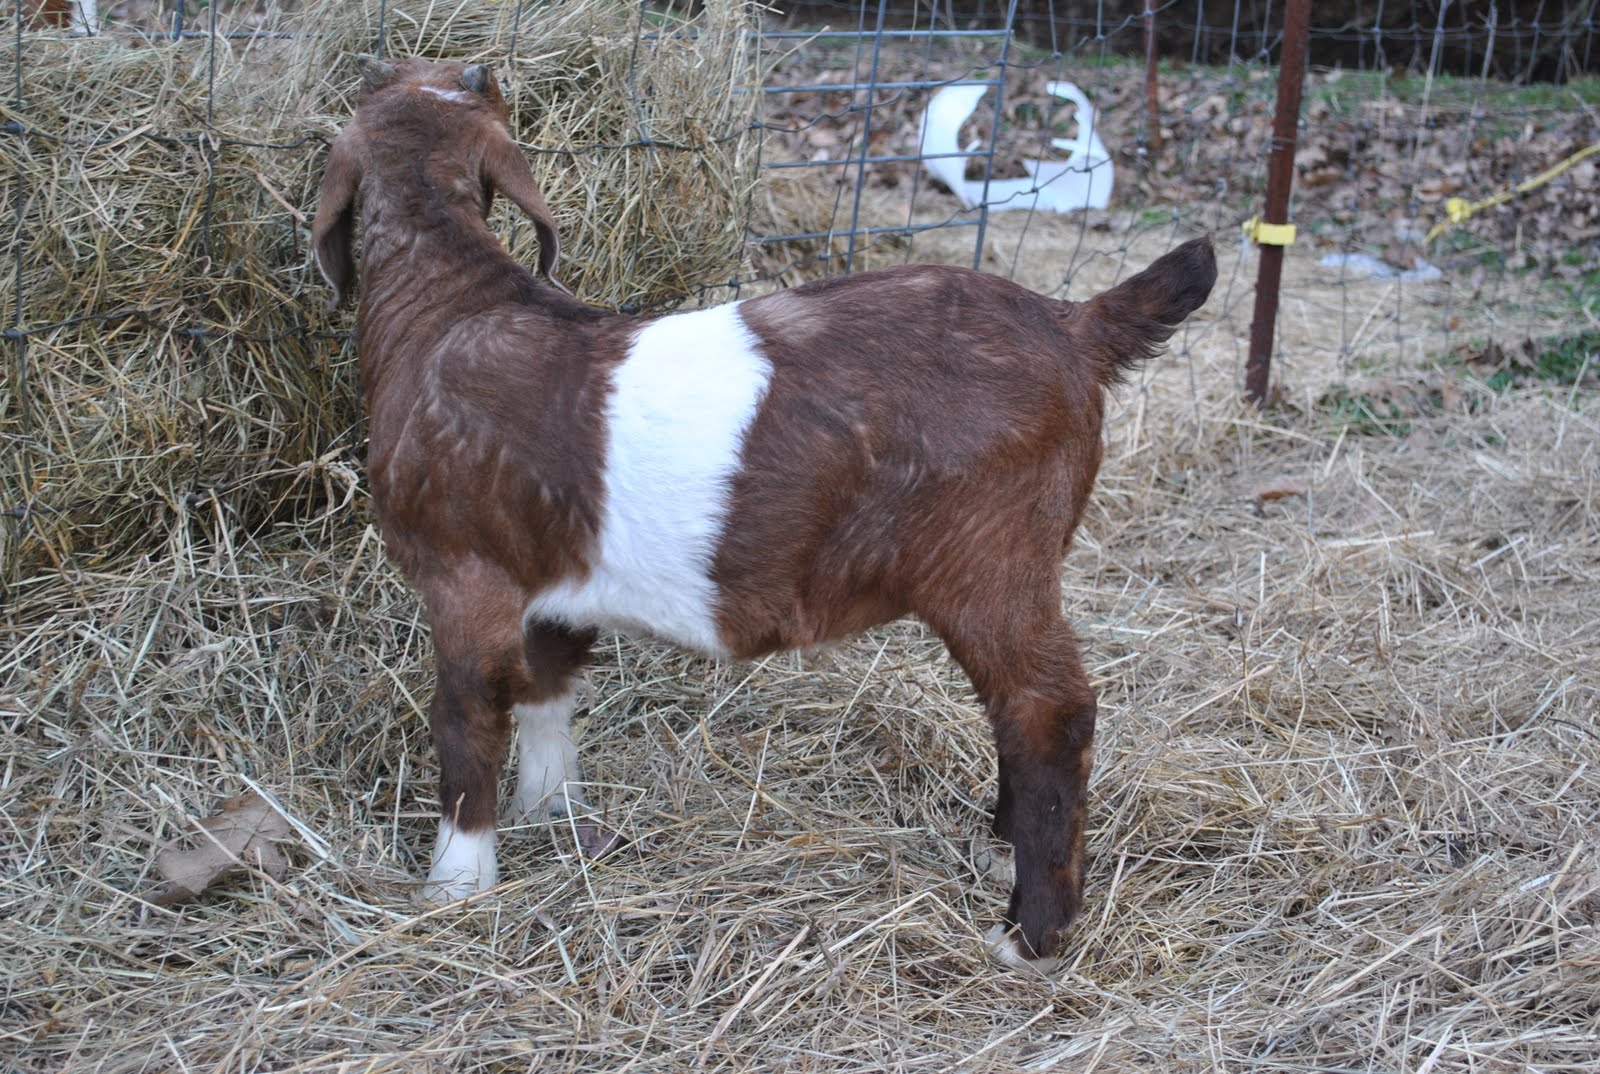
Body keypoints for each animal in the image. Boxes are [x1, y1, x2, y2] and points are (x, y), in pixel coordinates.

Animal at [312, 55, 1217, 968]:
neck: (449, 300)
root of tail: (1076, 326)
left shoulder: (465, 574)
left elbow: (468, 716)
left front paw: (455, 883)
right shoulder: (552, 579)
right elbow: (547, 690)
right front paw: (550, 808)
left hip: (991, 557)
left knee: (1048, 712)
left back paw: (1029, 931)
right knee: (1015, 709)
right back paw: (999, 850)